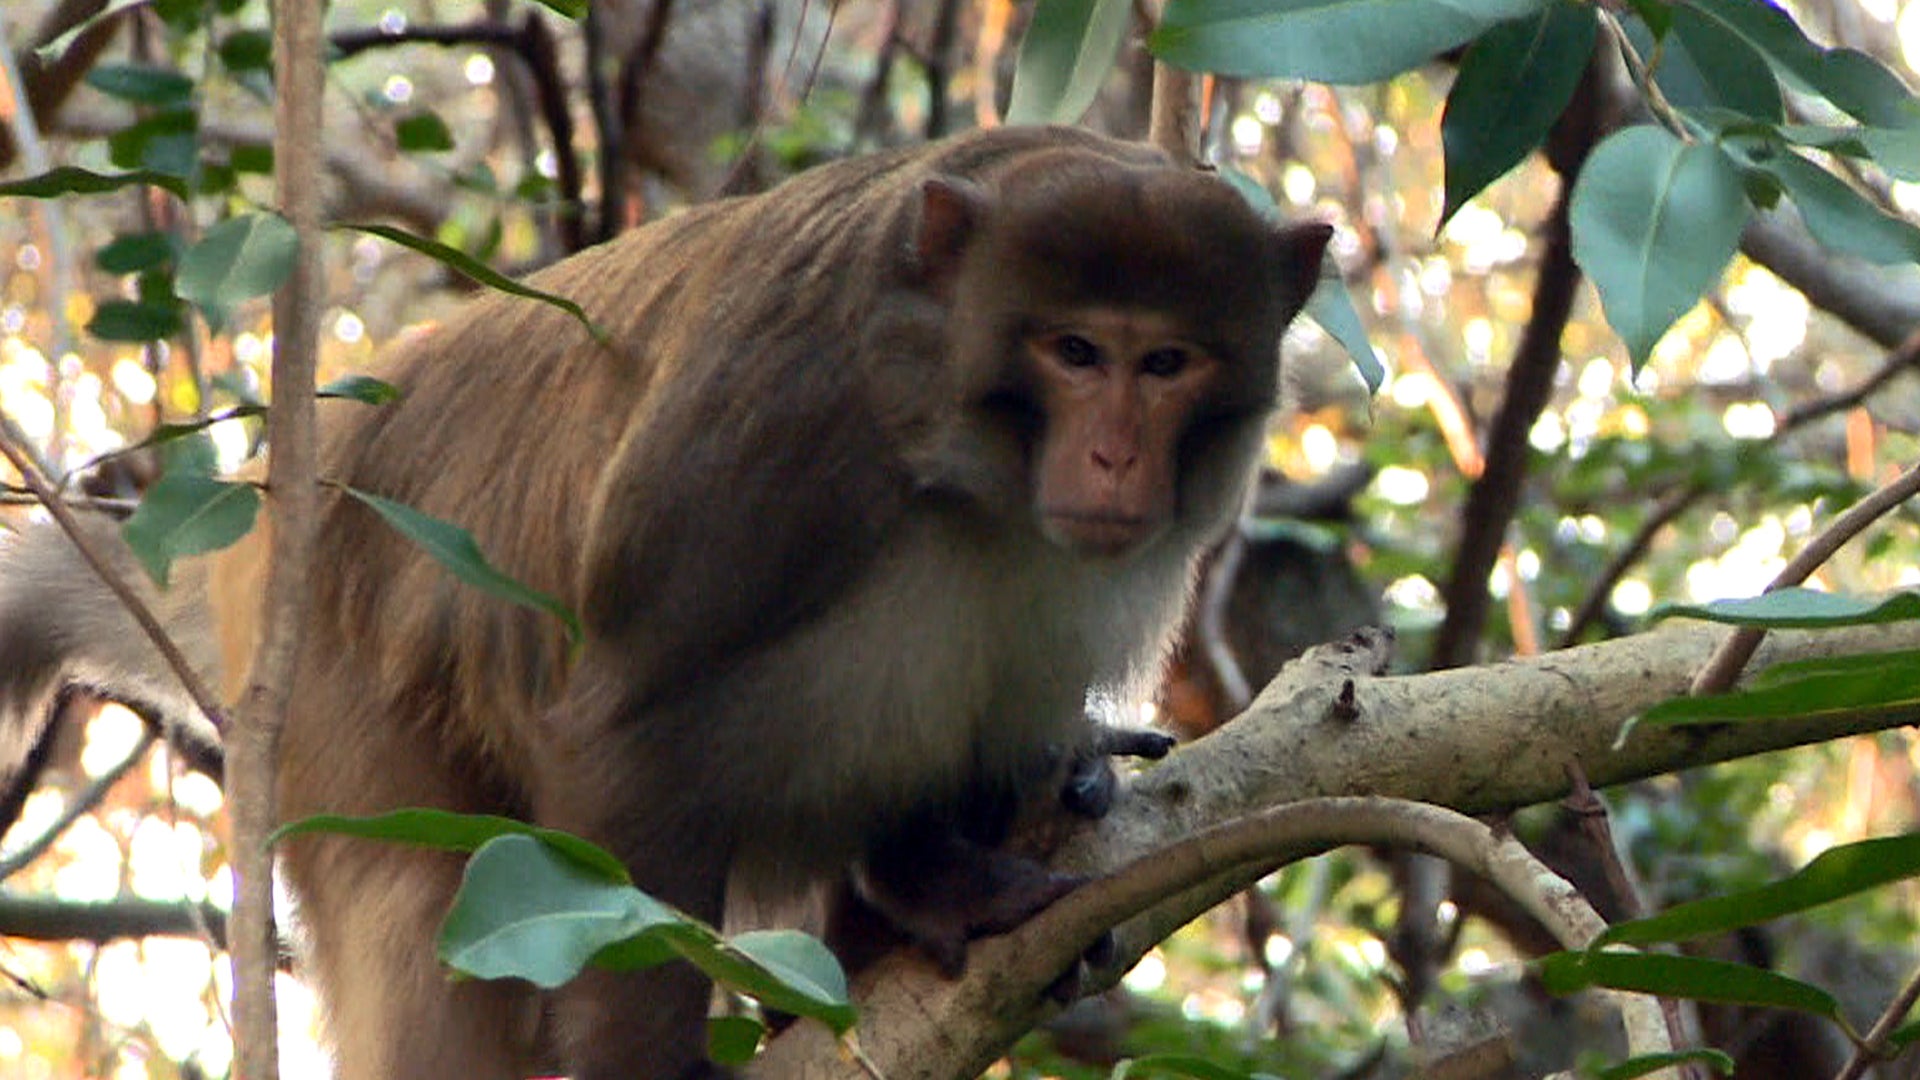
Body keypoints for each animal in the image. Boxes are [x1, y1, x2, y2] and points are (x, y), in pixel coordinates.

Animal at [0, 125, 1331, 1079]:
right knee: (417, 895)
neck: (965, 460)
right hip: (333, 656)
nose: (1114, 457)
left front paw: (945, 868)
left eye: (1167, 362)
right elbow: (626, 730)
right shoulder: (782, 424)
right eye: (1075, 351)